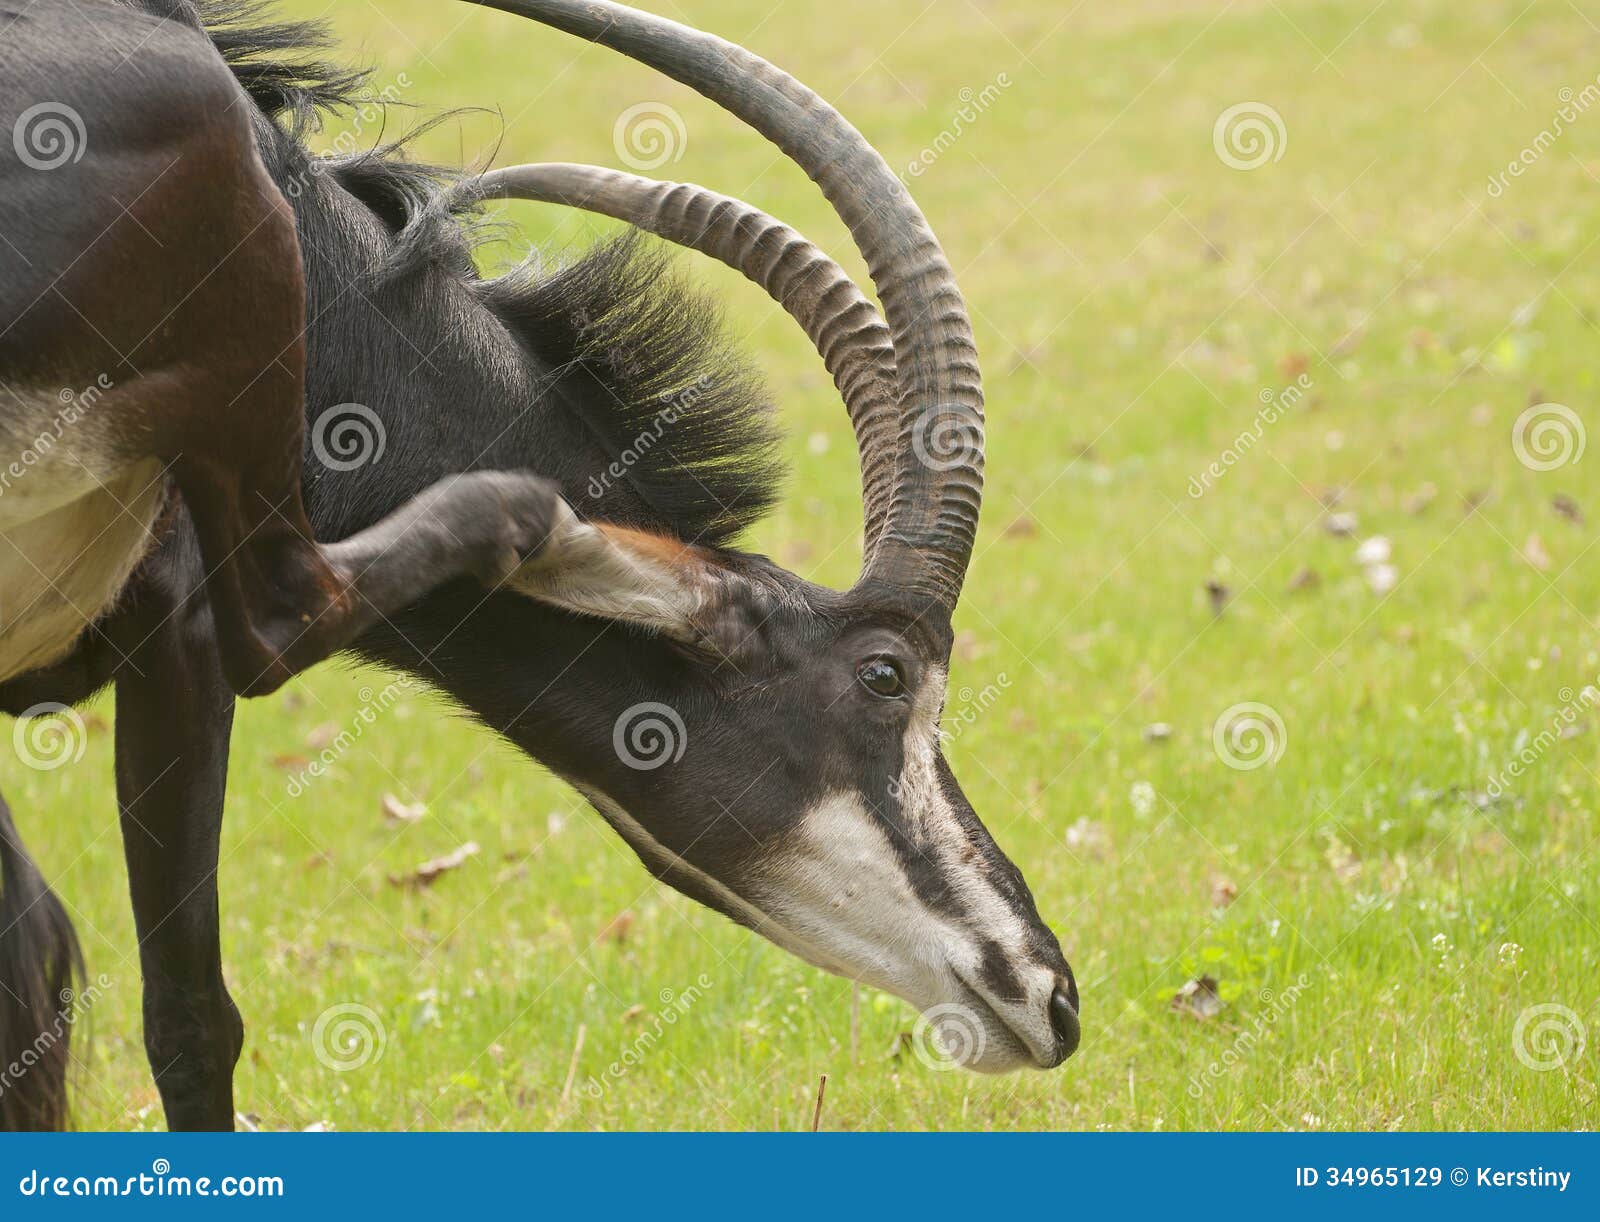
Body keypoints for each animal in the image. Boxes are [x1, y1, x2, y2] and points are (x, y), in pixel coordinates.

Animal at [0, 0, 1079, 1131]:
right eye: (884, 675)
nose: (1050, 995)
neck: (337, 317)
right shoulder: (179, 641)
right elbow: (188, 1018)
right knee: (287, 610)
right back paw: (520, 513)